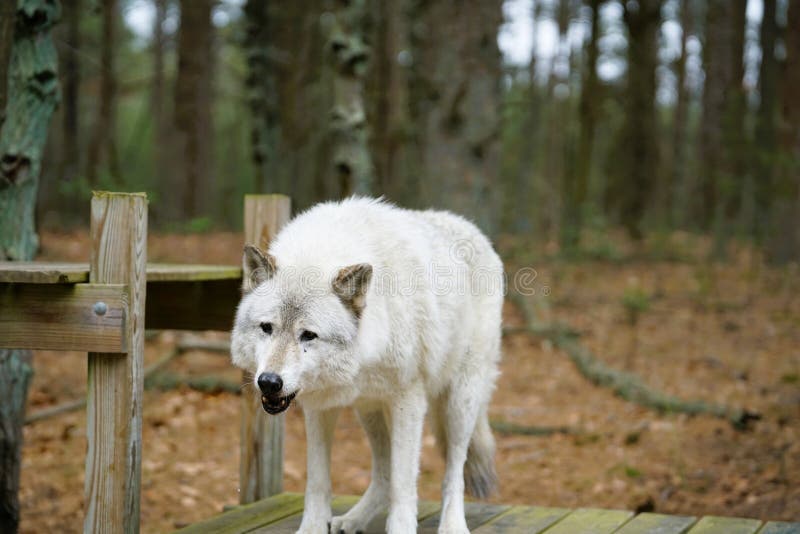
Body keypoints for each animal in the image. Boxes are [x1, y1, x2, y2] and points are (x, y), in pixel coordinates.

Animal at [231, 198, 504, 534]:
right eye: (267, 328)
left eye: (308, 335)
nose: (269, 382)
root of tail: (472, 228)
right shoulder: (319, 406)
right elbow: (318, 480)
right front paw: (312, 527)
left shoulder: (409, 401)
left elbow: (404, 484)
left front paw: (401, 528)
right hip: (369, 409)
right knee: (383, 474)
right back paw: (354, 519)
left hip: (460, 402)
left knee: (453, 470)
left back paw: (453, 524)